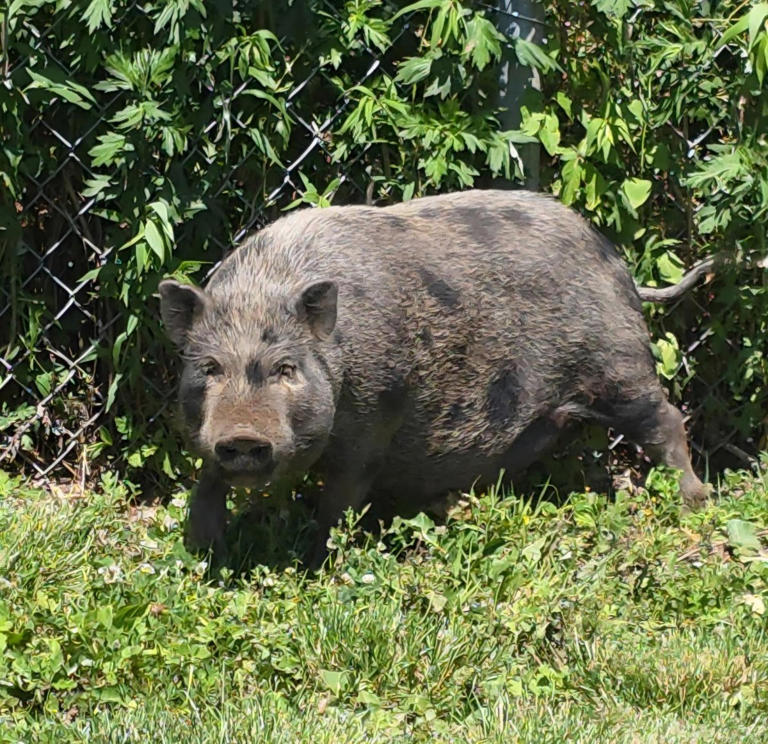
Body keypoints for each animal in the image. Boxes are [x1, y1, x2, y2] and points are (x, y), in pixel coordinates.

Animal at [159, 189, 710, 566]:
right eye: (210, 368)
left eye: (285, 368)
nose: (243, 435)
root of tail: (616, 262)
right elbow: (206, 483)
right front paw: (199, 552)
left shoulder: (372, 423)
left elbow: (338, 504)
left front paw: (317, 565)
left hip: (619, 364)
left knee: (667, 419)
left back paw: (694, 504)